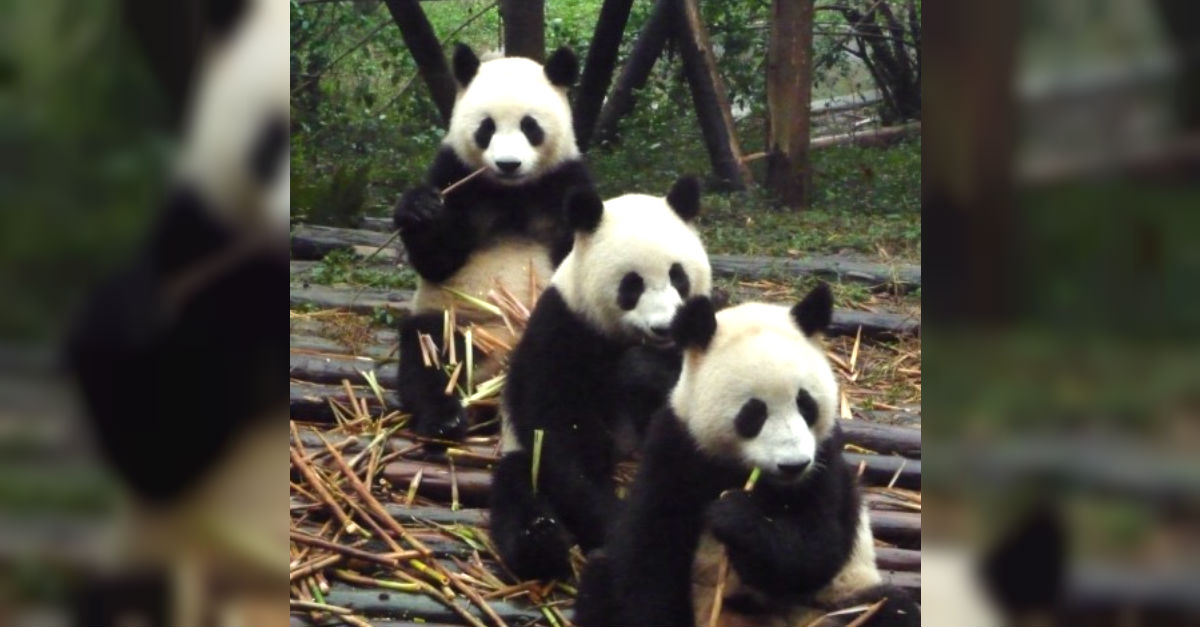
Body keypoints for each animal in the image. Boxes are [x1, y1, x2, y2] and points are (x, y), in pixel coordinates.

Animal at [392, 44, 594, 442]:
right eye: (486, 128)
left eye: (530, 126)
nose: (508, 164)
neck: (511, 192)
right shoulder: (454, 174)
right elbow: (437, 259)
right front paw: (420, 208)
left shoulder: (566, 182)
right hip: (457, 322)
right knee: (426, 353)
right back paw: (445, 418)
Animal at [489, 177, 713, 582]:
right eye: (632, 285)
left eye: (678, 276)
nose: (665, 326)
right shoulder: (564, 328)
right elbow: (560, 433)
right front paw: (617, 524)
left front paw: (641, 372)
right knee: (518, 487)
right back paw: (541, 544)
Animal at [574, 286, 920, 627]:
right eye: (754, 413)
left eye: (805, 404)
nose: (793, 465)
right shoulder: (676, 447)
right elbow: (651, 552)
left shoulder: (825, 458)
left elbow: (817, 548)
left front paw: (734, 514)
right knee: (600, 575)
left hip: (834, 600)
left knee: (889, 608)